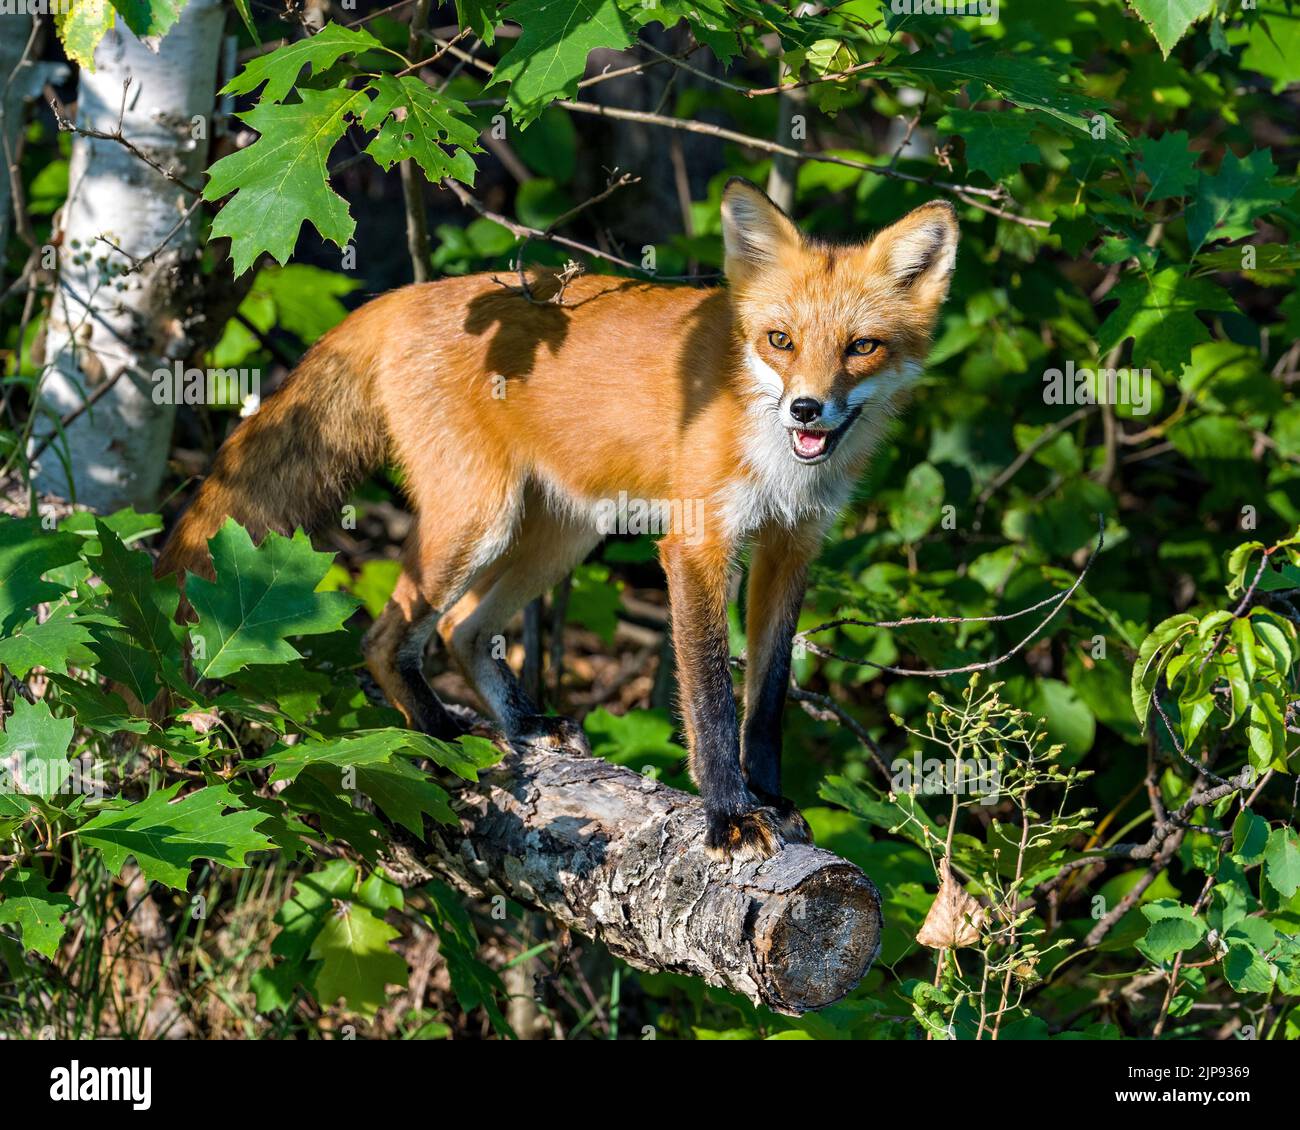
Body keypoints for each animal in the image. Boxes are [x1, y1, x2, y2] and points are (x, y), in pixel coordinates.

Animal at [156, 178, 959, 862]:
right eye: (780, 341)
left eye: (861, 346)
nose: (806, 410)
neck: (775, 453)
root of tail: (407, 293)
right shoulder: (697, 543)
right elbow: (709, 697)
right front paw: (730, 815)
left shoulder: (791, 548)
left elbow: (765, 700)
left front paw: (770, 796)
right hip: (478, 521)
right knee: (385, 640)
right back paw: (442, 738)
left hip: (562, 535)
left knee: (461, 628)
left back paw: (523, 725)